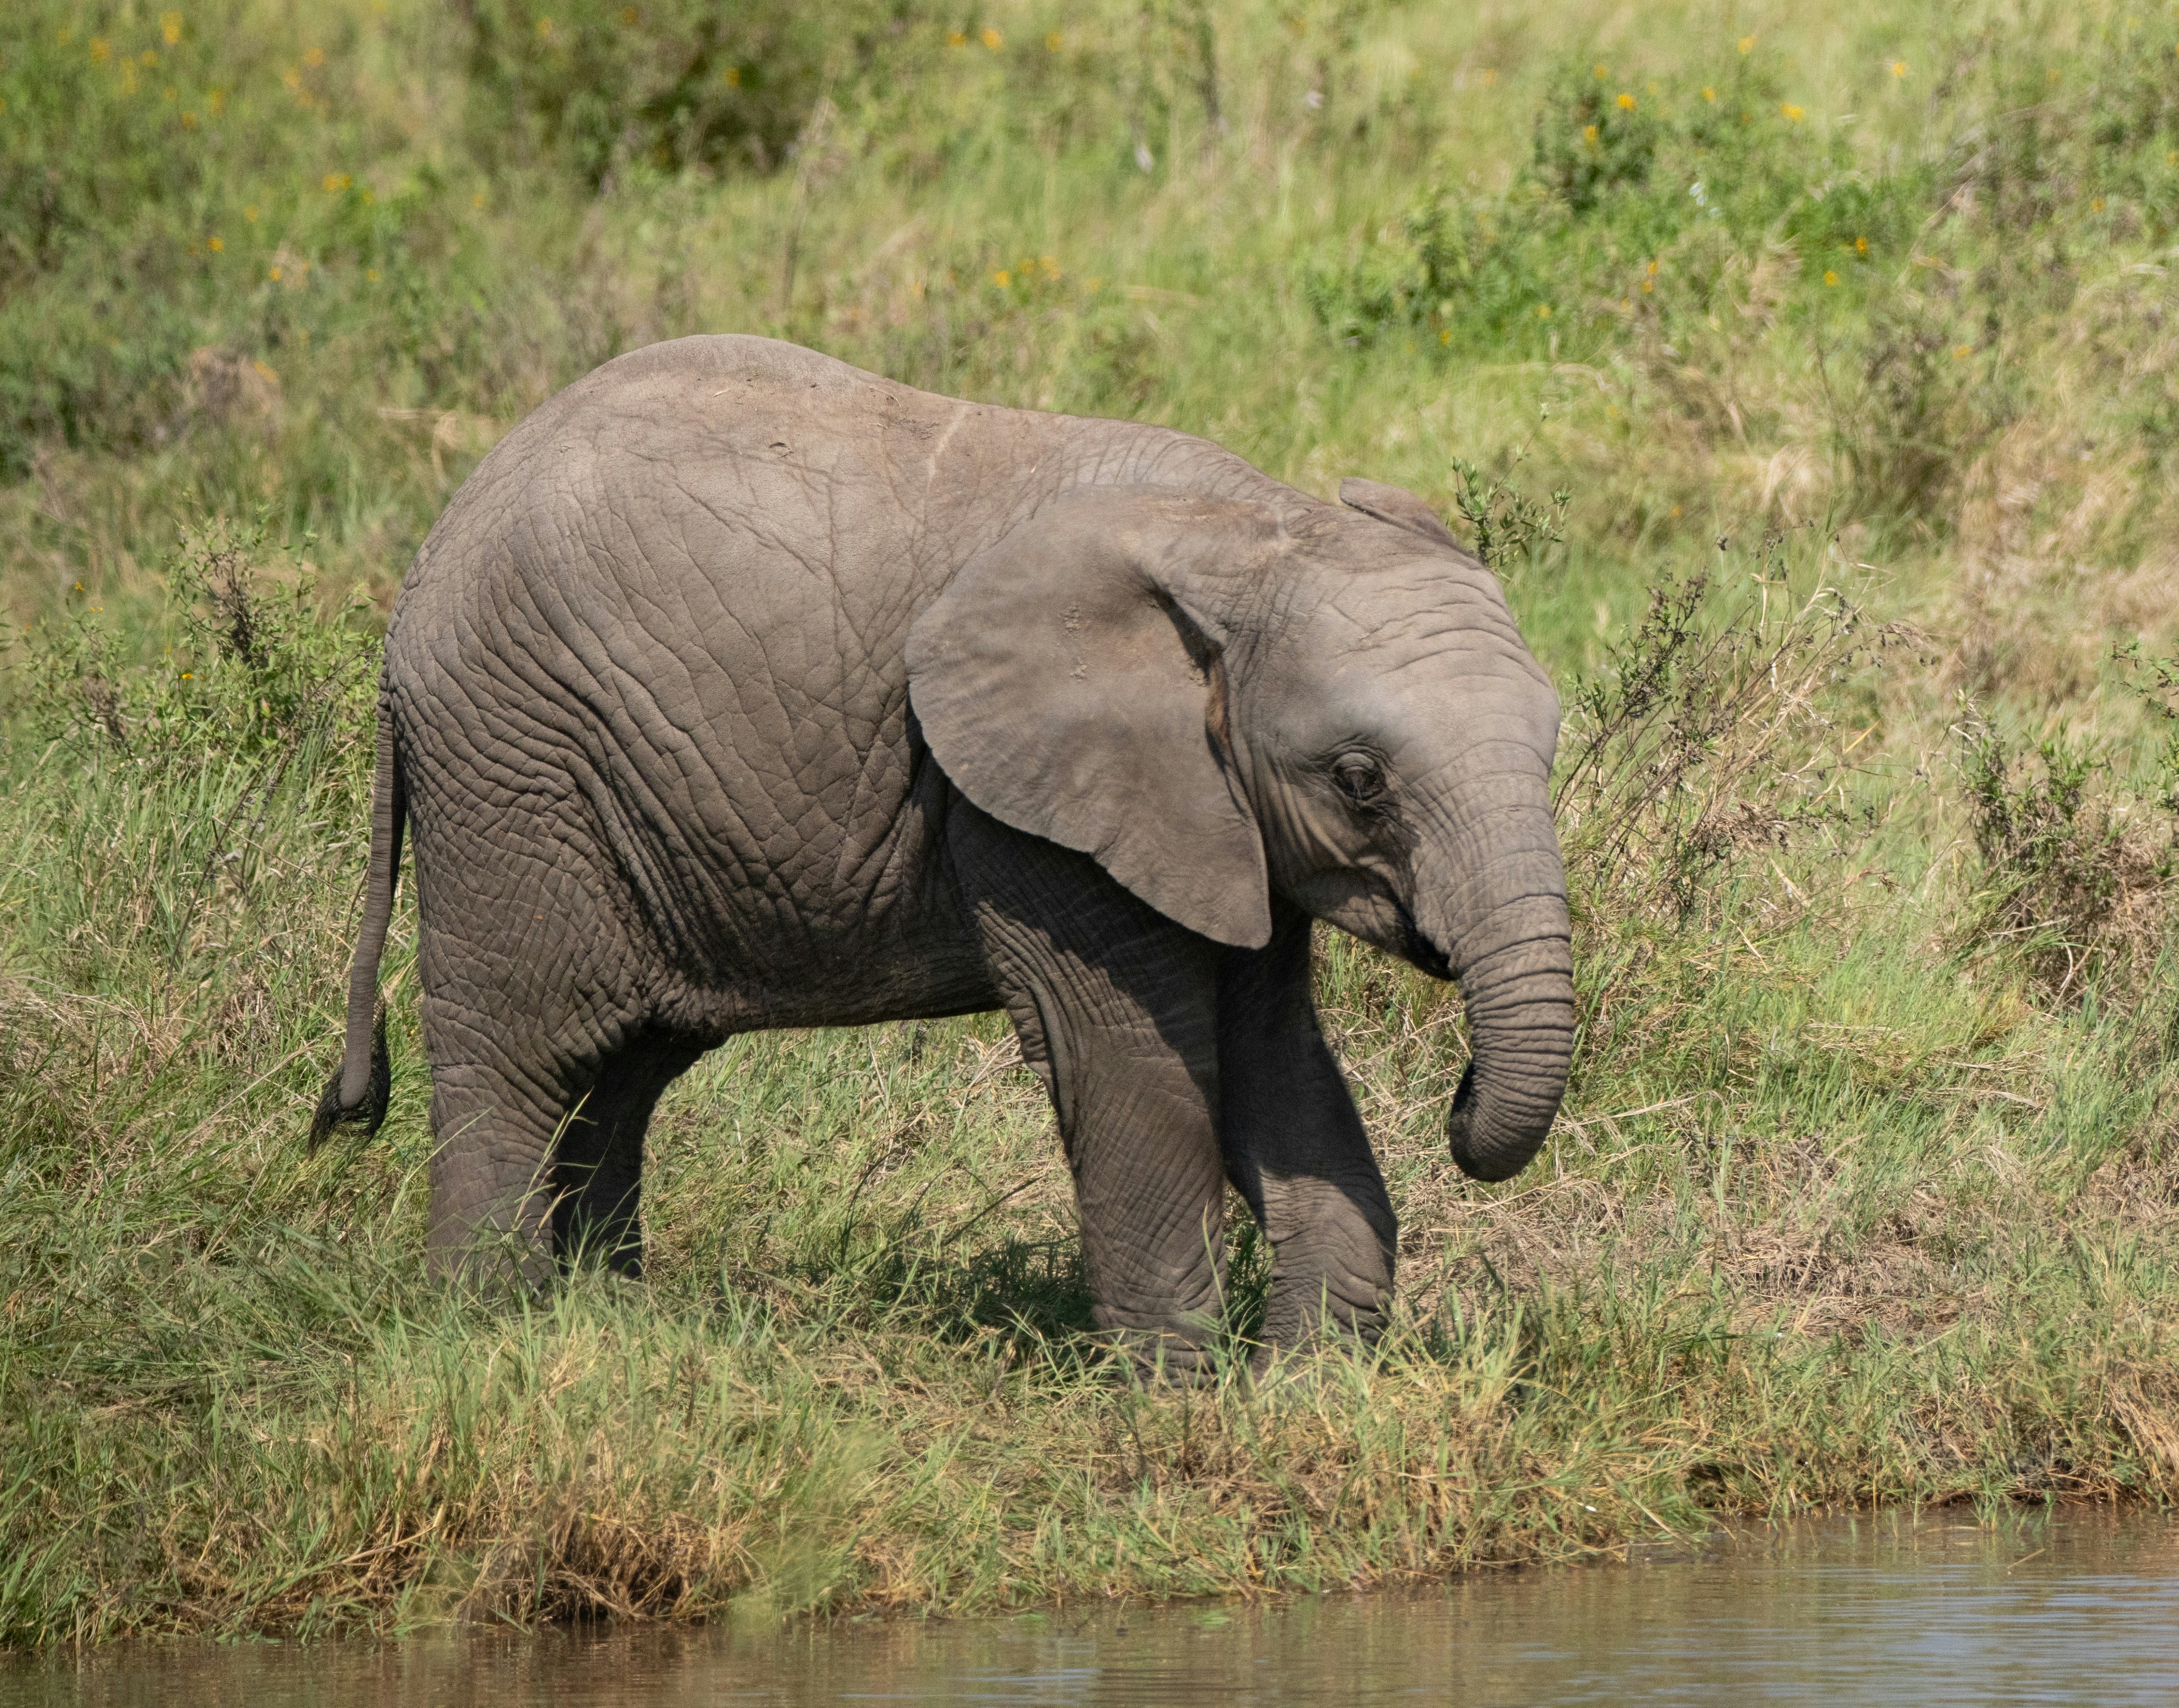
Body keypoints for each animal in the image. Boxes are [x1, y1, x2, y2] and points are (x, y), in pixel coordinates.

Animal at [314, 334, 1573, 1371]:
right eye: (1361, 780)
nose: (1462, 1092)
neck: (1250, 531)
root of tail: (417, 581)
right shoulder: (1026, 805)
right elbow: (1127, 1063)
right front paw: (1178, 1401)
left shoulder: (1214, 817)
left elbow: (1278, 1057)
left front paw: (1308, 1386)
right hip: (512, 768)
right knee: (524, 1053)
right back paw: (490, 1335)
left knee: (625, 1067)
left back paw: (607, 1324)